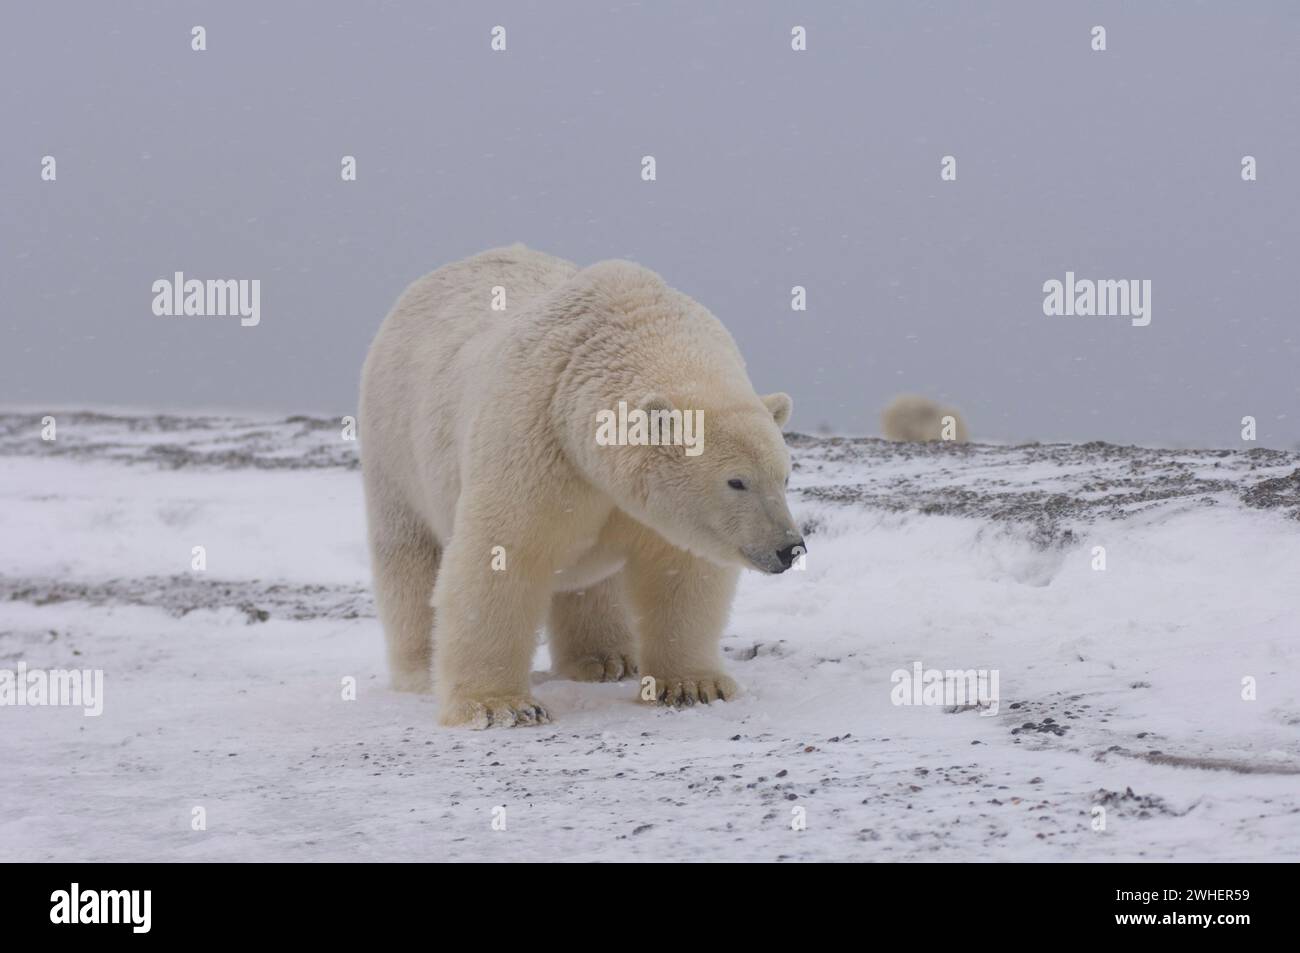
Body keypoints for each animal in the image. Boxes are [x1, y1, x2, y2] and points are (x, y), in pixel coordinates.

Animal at [359, 245, 804, 728]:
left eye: (785, 476)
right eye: (736, 481)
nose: (790, 548)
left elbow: (681, 571)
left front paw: (694, 685)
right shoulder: (537, 441)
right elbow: (502, 554)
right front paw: (500, 706)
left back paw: (607, 659)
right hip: (396, 448)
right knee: (409, 554)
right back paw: (421, 667)